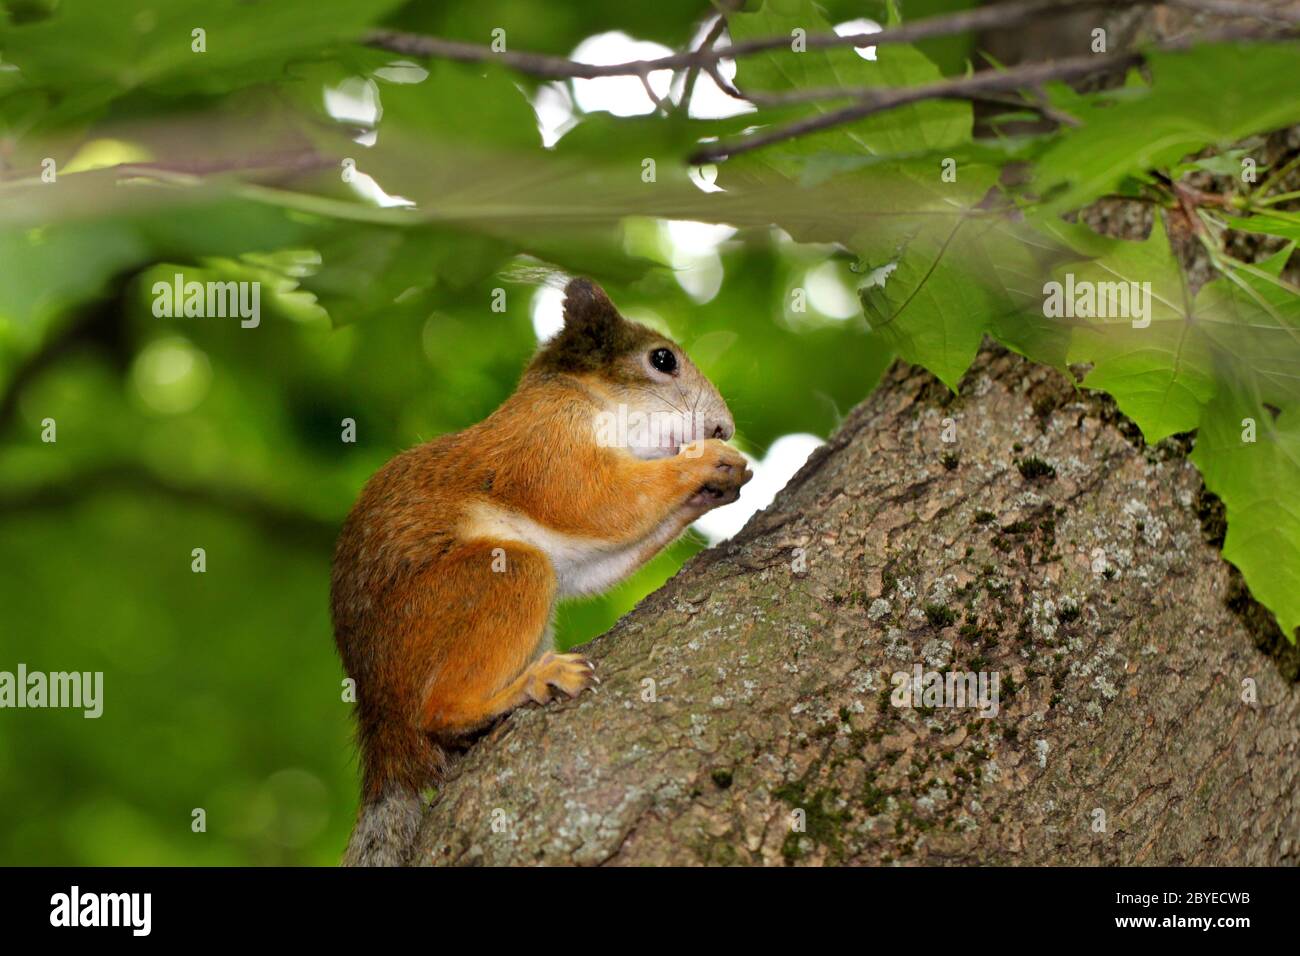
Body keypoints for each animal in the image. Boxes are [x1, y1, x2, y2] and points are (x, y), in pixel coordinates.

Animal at [330, 278, 752, 866]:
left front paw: (718, 485)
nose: (722, 427)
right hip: (479, 587)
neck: (593, 399)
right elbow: (591, 498)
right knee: (439, 711)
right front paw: (705, 460)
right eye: (662, 360)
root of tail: (383, 734)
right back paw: (527, 685)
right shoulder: (543, 442)